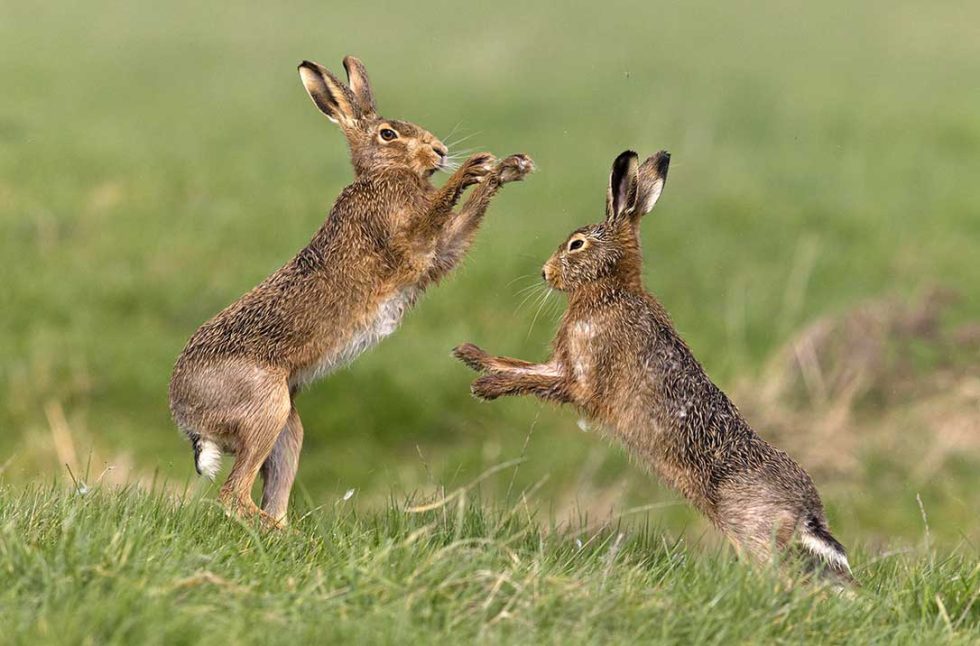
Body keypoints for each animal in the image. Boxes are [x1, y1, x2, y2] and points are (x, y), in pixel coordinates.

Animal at [169, 55, 534, 526]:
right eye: (388, 134)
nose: (439, 150)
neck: (383, 175)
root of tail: (186, 416)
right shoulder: (407, 240)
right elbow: (438, 209)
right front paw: (474, 167)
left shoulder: (437, 255)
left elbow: (461, 222)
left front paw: (507, 168)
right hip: (264, 409)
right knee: (232, 495)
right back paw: (291, 535)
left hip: (288, 428)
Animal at [453, 150, 854, 586]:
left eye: (577, 244)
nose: (545, 273)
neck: (610, 290)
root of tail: (808, 511)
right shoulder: (563, 365)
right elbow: (522, 366)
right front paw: (470, 355)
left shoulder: (583, 380)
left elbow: (534, 381)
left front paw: (487, 387)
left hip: (751, 529)